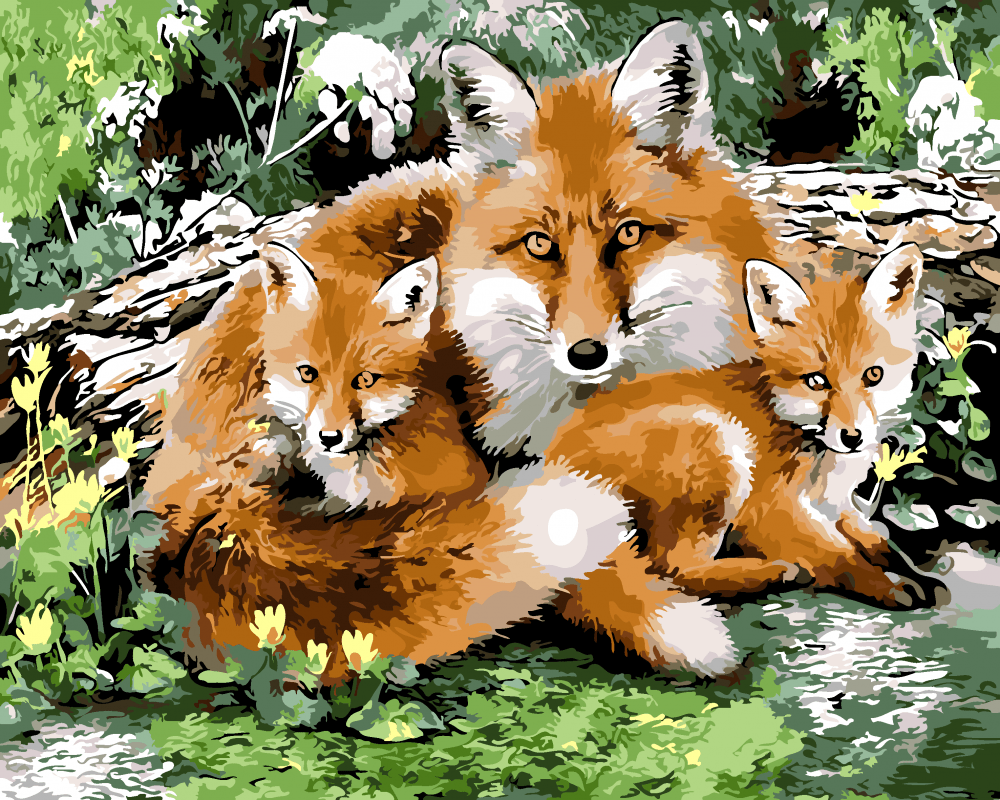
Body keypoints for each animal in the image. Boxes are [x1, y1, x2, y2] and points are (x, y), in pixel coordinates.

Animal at [491, 243, 948, 677]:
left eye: (873, 375)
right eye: (817, 381)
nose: (853, 437)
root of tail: (555, 464)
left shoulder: (837, 506)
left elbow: (876, 538)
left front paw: (912, 570)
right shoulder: (768, 510)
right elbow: (843, 555)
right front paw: (887, 586)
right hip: (720, 446)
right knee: (672, 568)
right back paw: (771, 572)